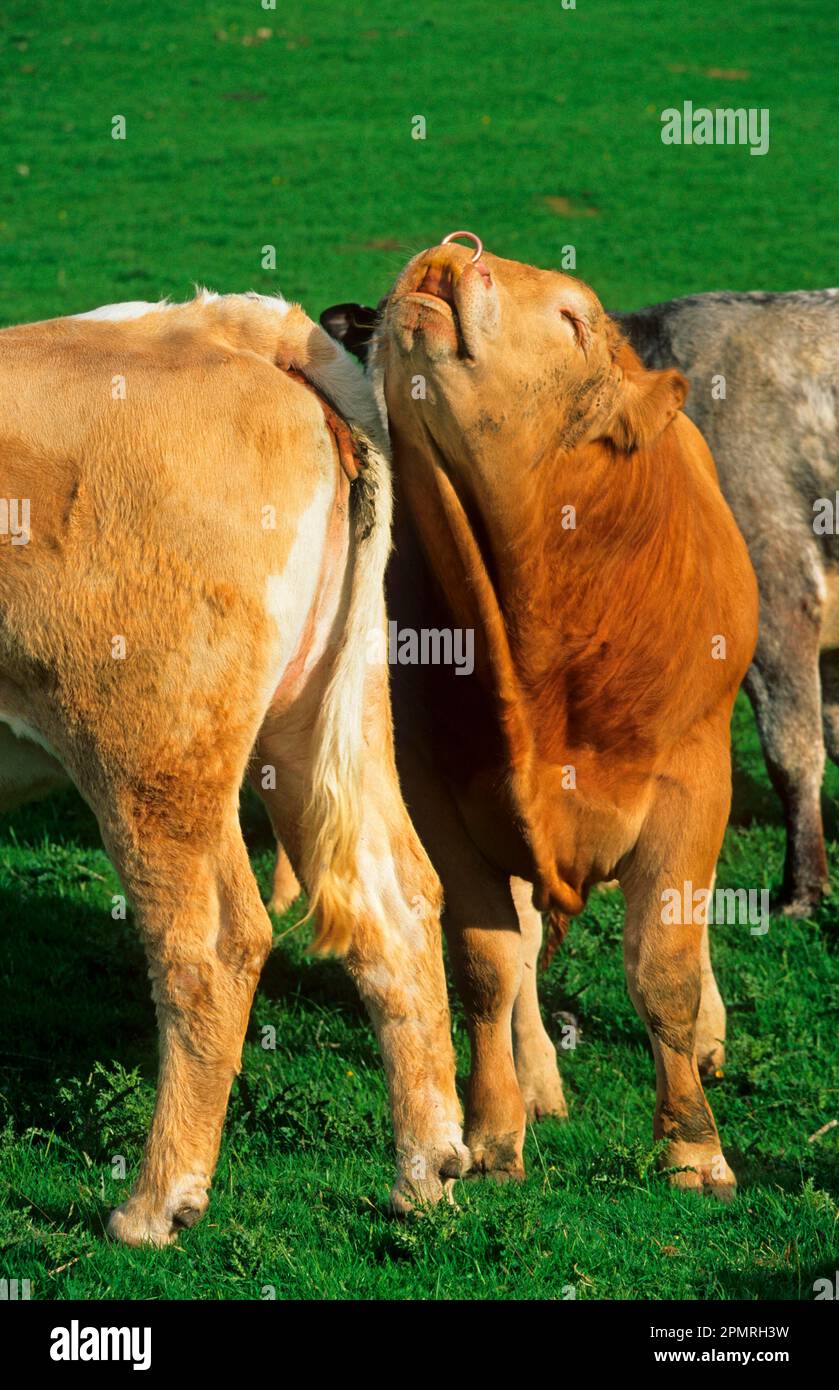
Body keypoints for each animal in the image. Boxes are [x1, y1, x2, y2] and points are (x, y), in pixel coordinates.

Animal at [0, 290, 469, 1246]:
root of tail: (240, 329)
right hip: (322, 716)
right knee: (398, 902)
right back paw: (425, 1174)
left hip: (148, 756)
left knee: (210, 946)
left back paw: (154, 1205)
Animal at [301, 239, 759, 1194]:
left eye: (572, 317)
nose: (451, 254)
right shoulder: (443, 799)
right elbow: (488, 966)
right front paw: (491, 1133)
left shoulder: (692, 784)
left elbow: (662, 967)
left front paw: (693, 1147)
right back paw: (539, 1080)